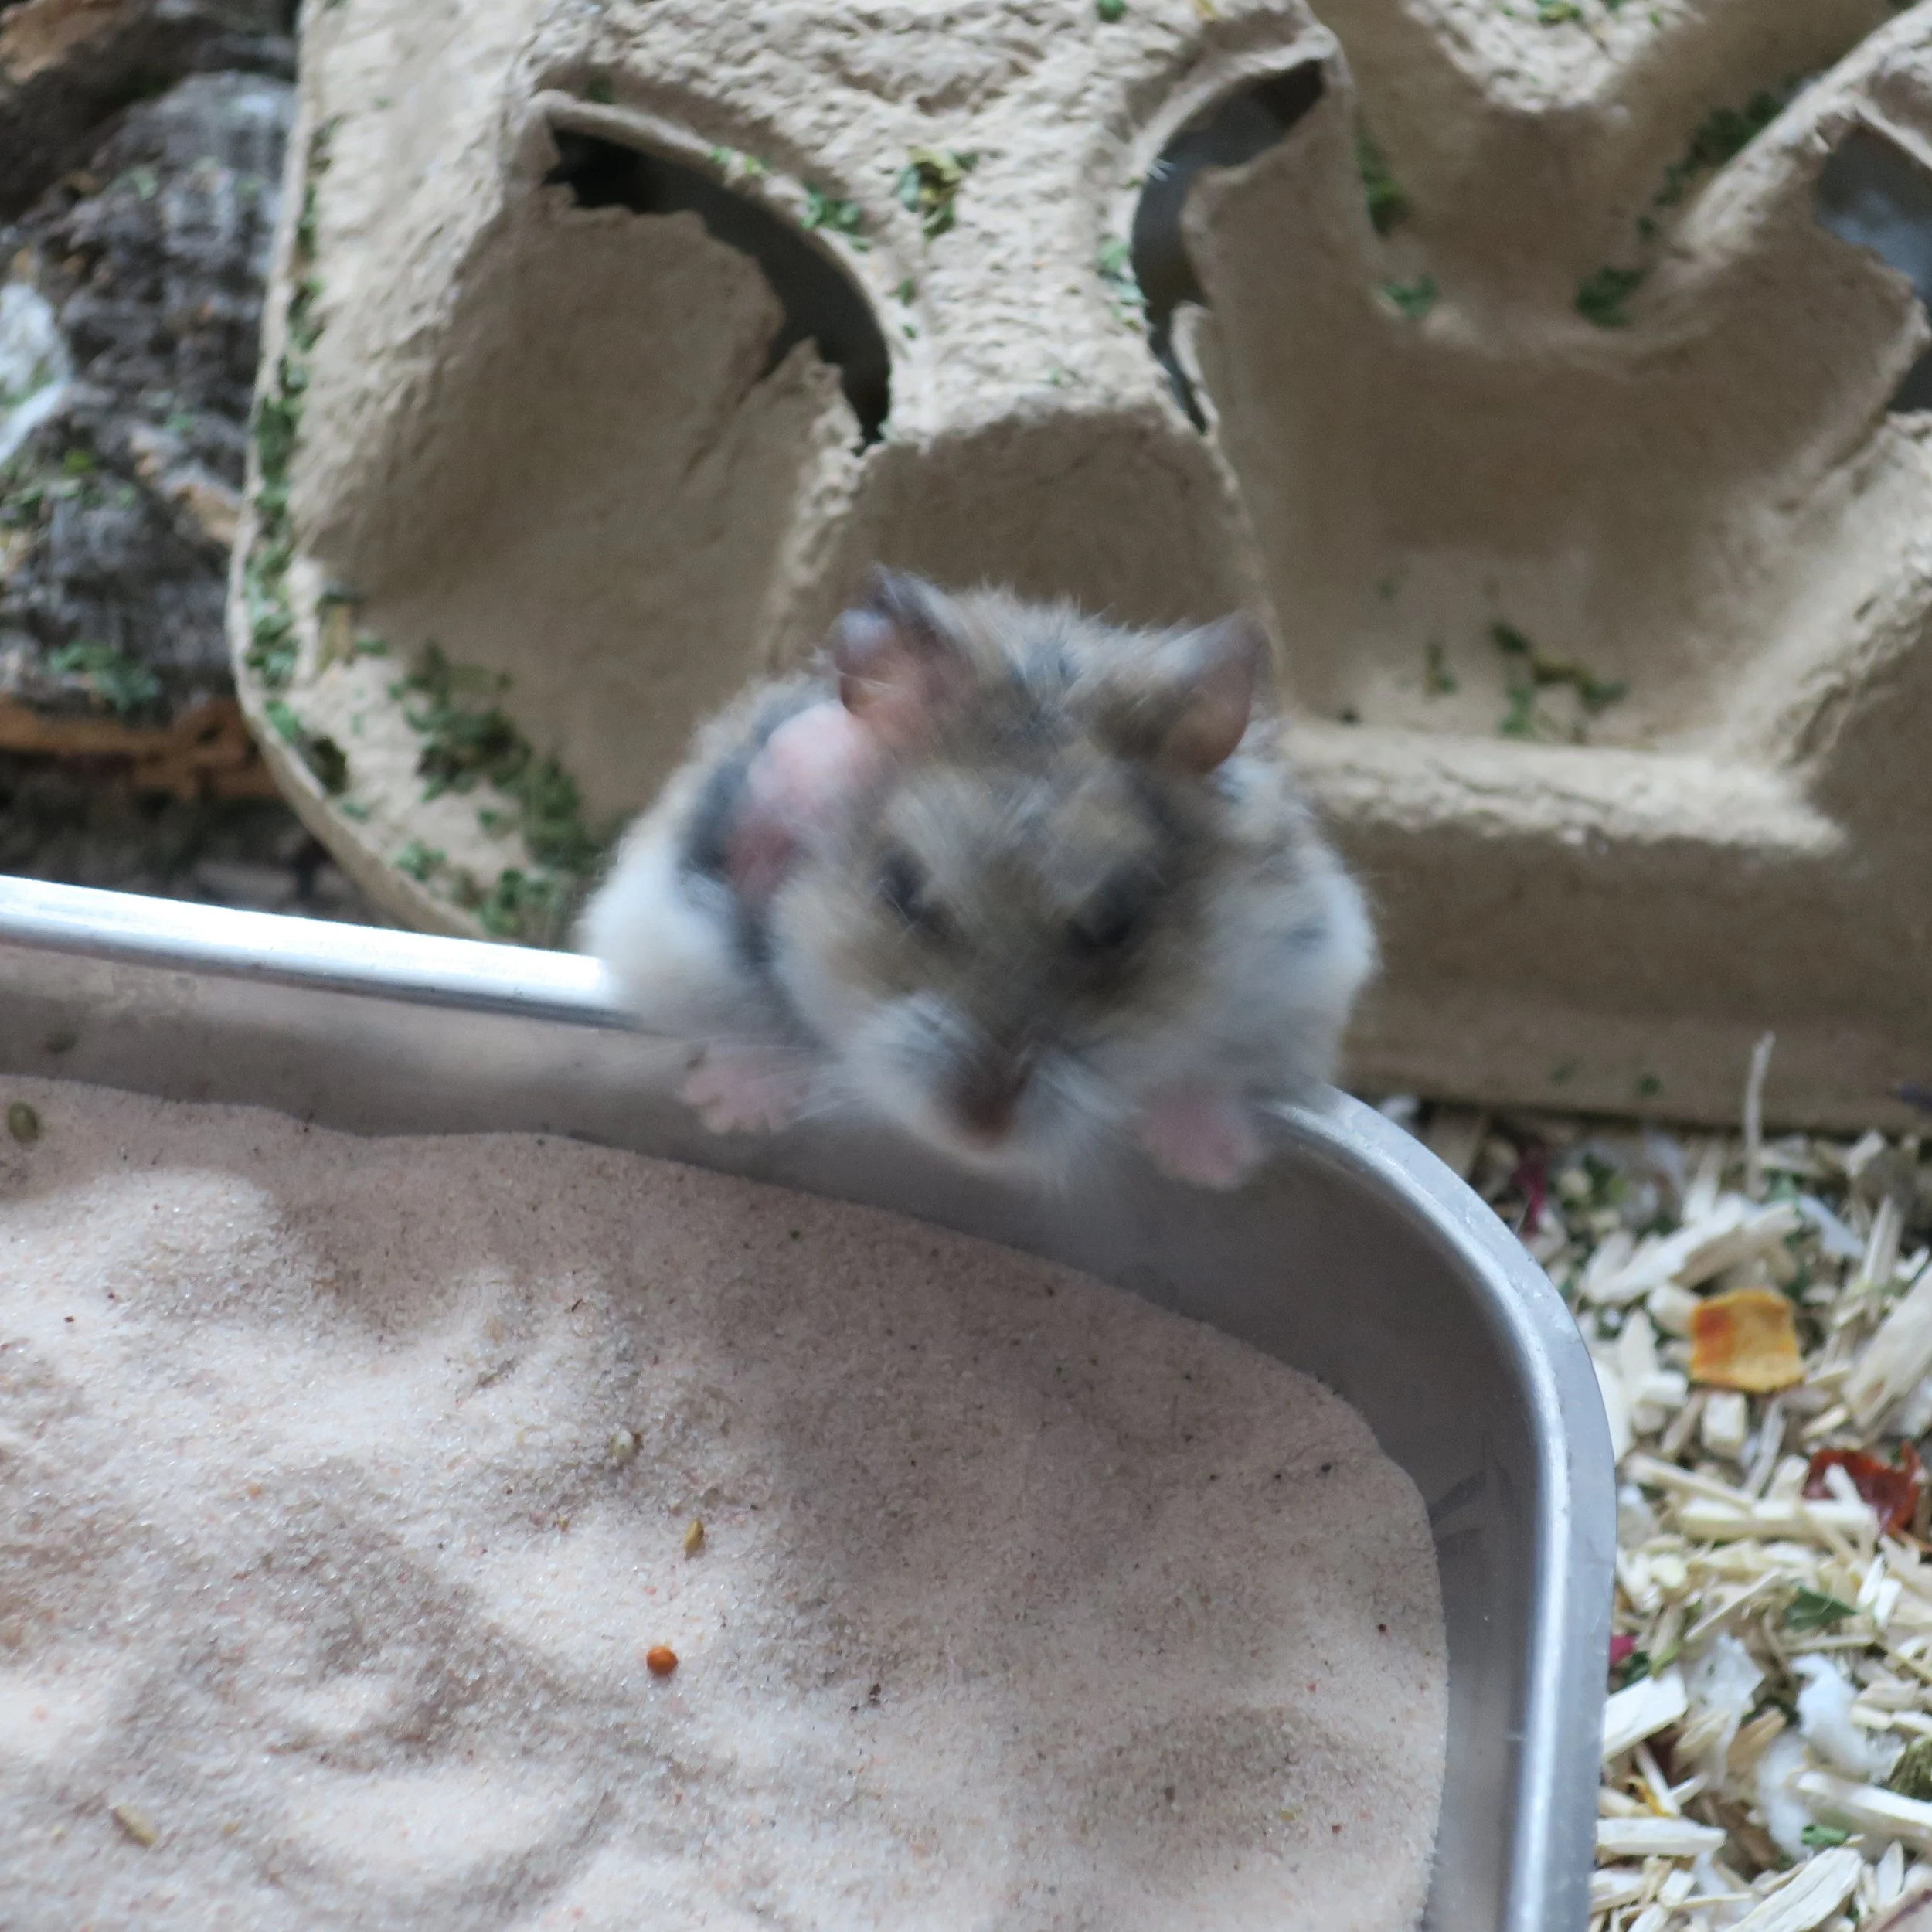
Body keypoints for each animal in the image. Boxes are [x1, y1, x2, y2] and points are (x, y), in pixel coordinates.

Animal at [579, 568, 1375, 1190]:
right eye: (903, 888)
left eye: (1118, 922)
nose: (980, 1129)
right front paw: (734, 1110)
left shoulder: (1306, 976)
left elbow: (1223, 1067)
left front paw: (1208, 1162)